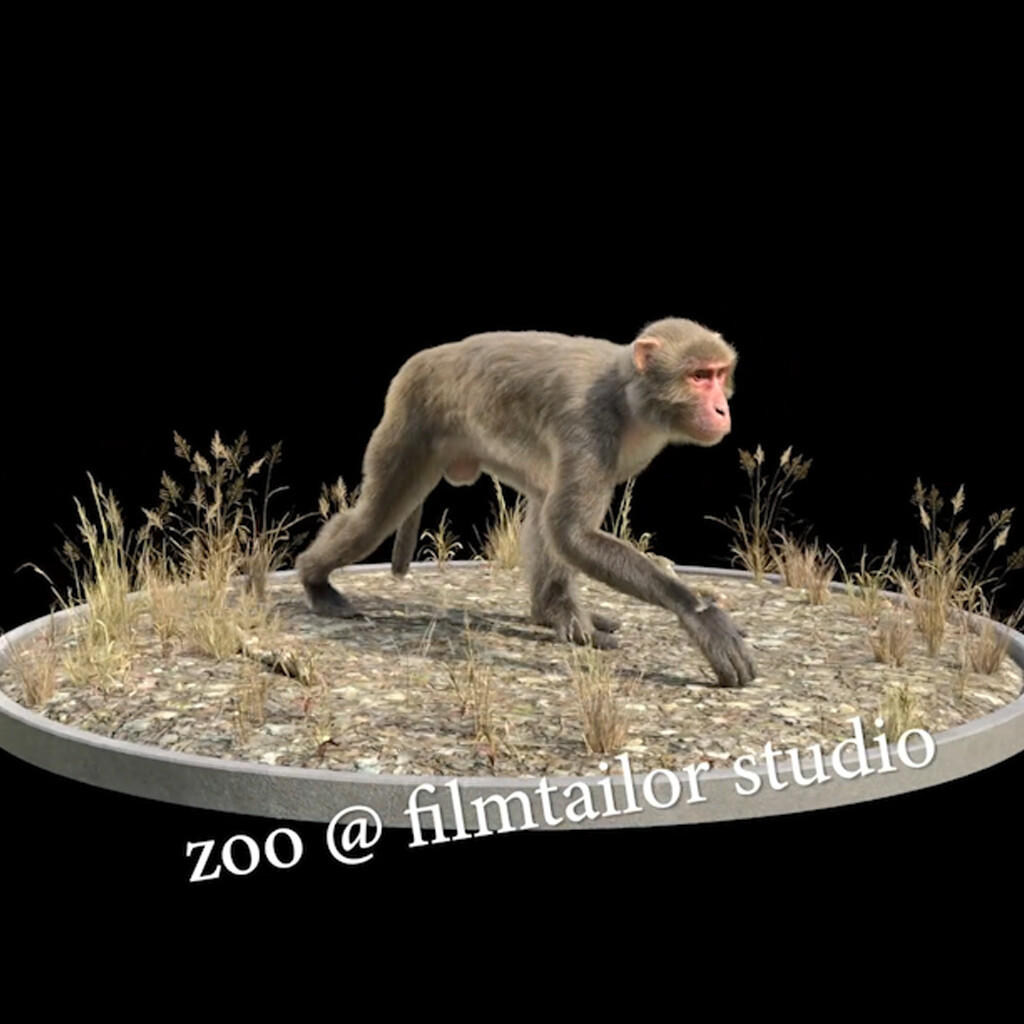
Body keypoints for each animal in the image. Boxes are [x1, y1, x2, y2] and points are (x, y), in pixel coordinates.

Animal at [296, 318, 758, 688]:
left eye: (718, 375)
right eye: (698, 376)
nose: (722, 408)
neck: (630, 397)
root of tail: (422, 358)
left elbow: (557, 527)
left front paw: (562, 615)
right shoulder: (588, 424)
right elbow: (570, 532)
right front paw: (699, 613)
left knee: (537, 502)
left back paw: (551, 613)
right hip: (411, 417)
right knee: (377, 515)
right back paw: (314, 582)